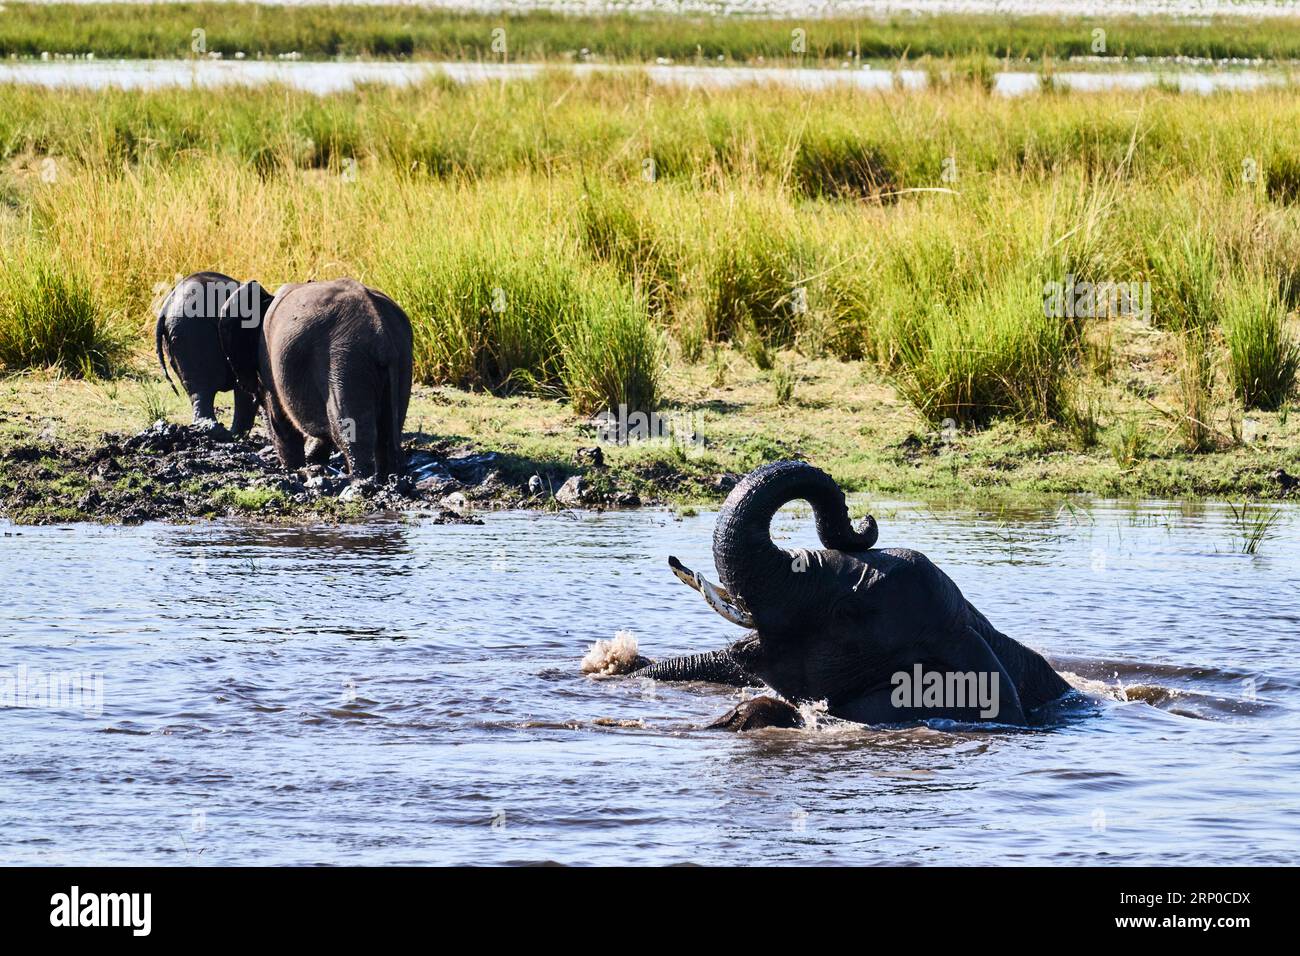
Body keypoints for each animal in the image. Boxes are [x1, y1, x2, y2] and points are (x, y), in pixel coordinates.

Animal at [217, 278, 414, 479]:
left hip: (346, 361)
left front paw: (293, 469)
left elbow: (280, 420)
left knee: (351, 431)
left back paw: (359, 481)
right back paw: (388, 479)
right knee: (388, 431)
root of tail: (381, 334)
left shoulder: (268, 364)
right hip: (401, 357)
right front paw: (311, 464)